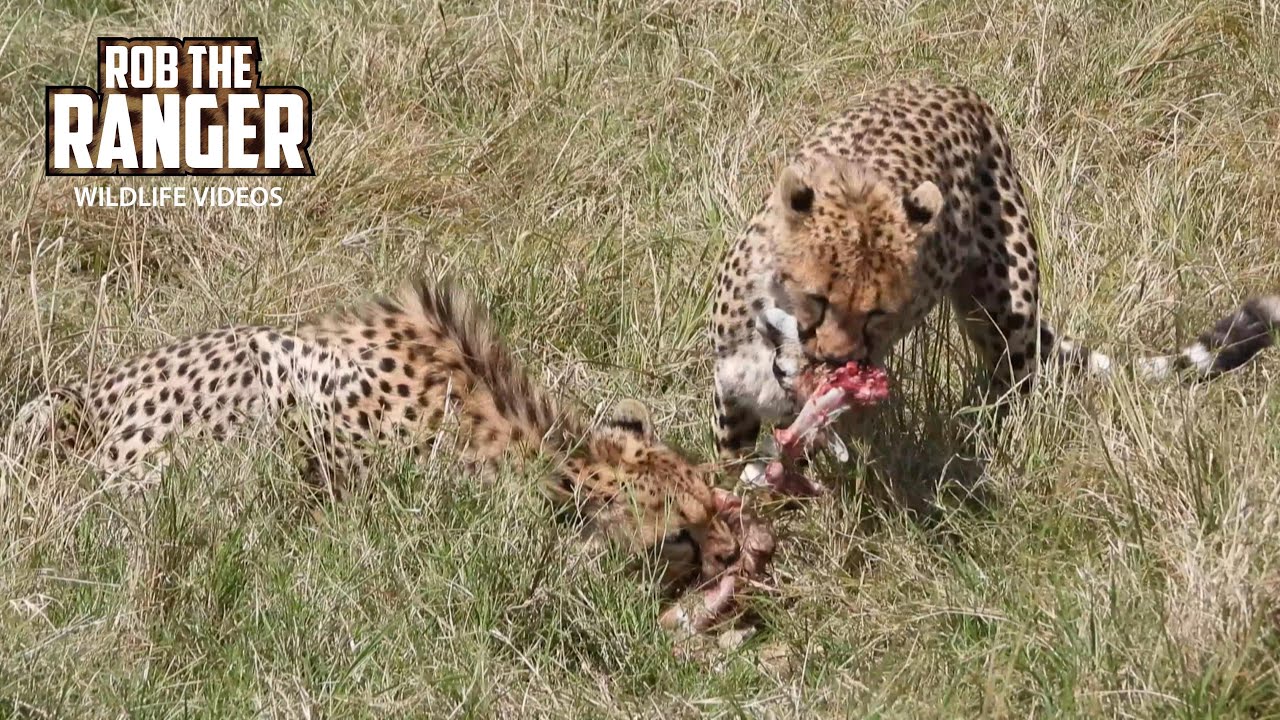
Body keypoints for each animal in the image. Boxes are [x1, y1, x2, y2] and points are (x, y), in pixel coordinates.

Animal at [709, 81, 1278, 482]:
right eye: (818, 299)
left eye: (878, 315)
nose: (838, 362)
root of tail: (952, 88)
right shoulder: (730, 391)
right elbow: (726, 463)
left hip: (1006, 306)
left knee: (1019, 379)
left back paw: (1007, 439)